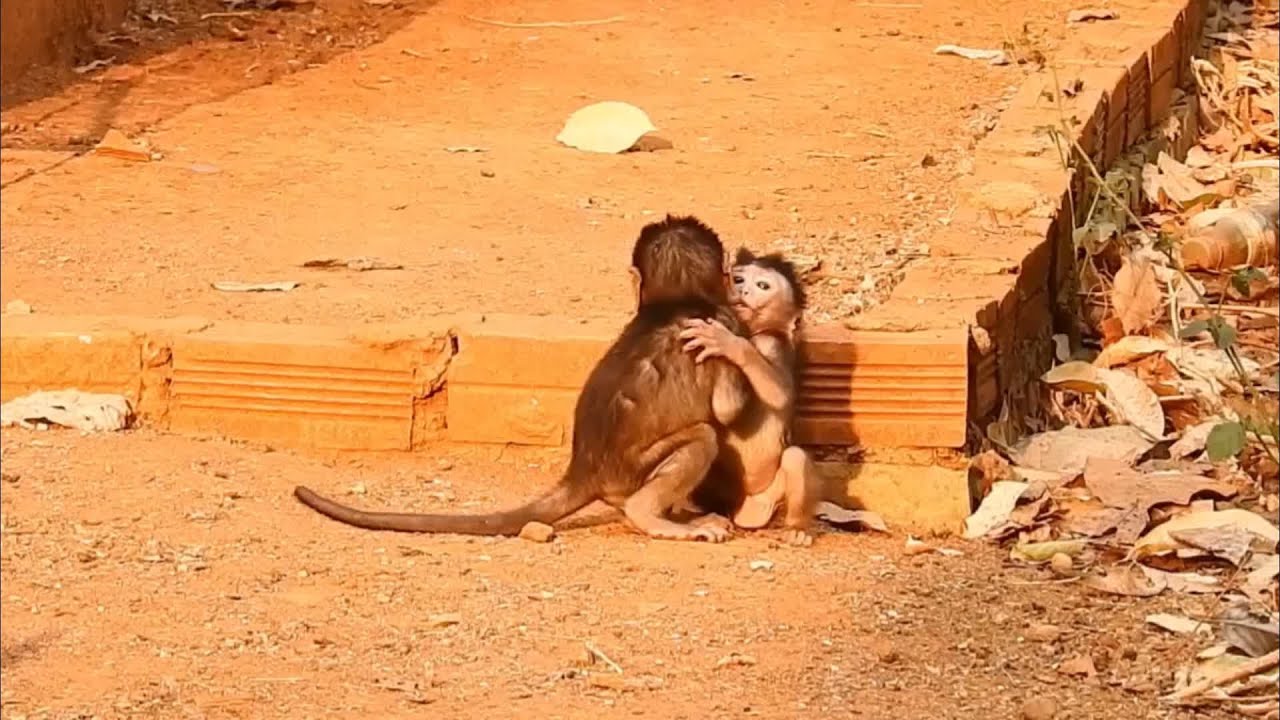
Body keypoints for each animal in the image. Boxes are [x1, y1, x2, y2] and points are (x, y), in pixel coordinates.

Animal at [293, 214, 754, 541]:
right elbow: (729, 409)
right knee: (703, 436)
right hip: (632, 473)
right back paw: (656, 518)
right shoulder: (727, 320)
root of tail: (583, 472)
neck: (676, 301)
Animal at [678, 247, 821, 546]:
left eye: (763, 286)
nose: (743, 290)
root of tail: (751, 509)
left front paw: (728, 343)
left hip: (772, 493)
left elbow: (778, 394)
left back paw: (797, 528)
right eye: (739, 278)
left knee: (795, 458)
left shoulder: (771, 343)